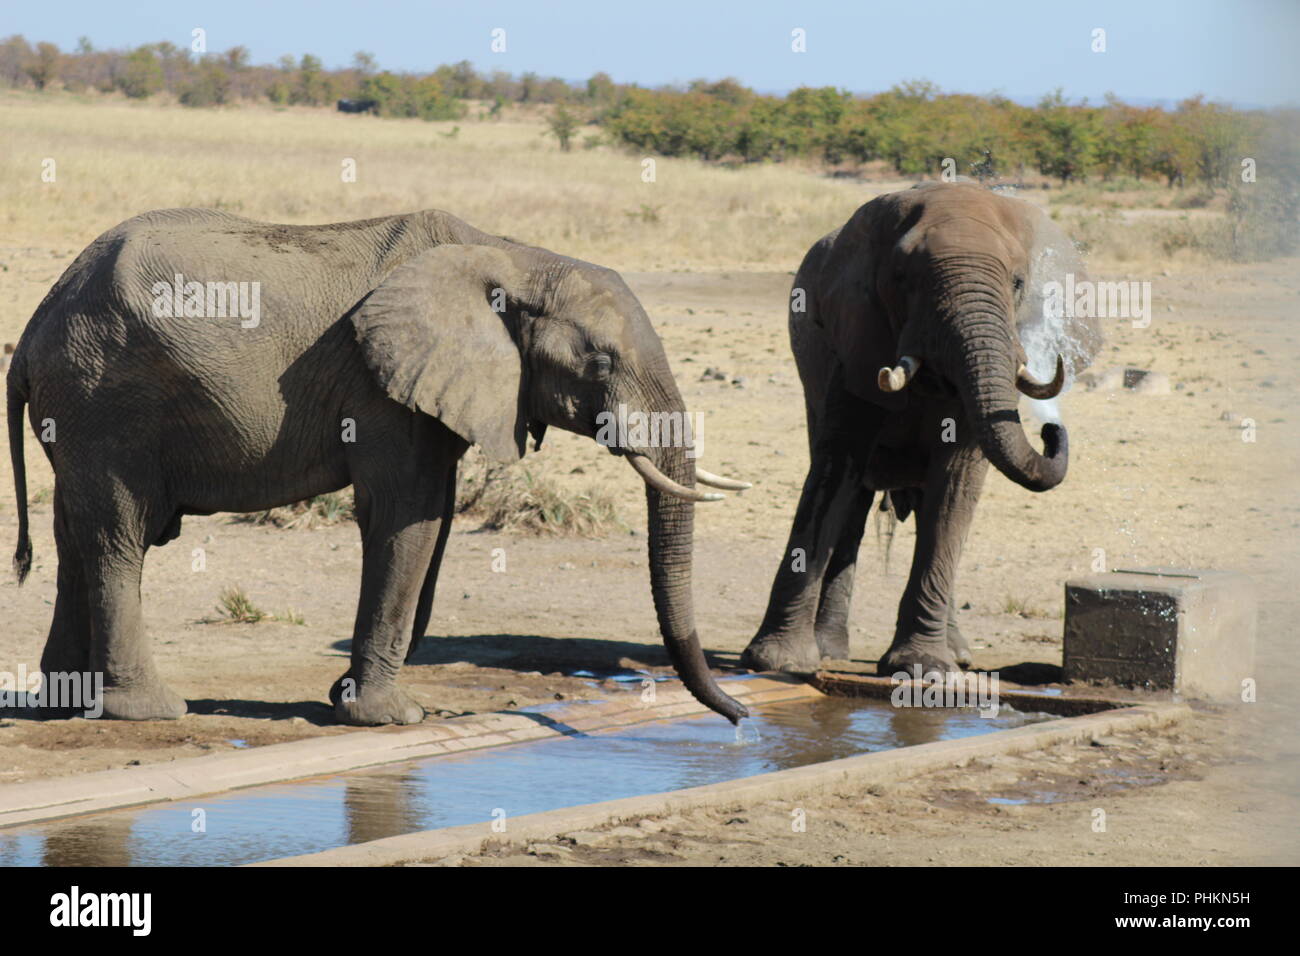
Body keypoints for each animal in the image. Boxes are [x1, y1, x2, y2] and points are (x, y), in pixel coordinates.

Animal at [6, 207, 752, 726]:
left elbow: (434, 521)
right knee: (119, 534)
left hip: (79, 408)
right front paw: (388, 717)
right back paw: (151, 710)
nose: (743, 718)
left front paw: (347, 697)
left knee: (75, 534)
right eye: (600, 362)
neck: (511, 256)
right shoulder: (382, 390)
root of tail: (39, 319)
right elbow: (405, 517)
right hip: (106, 396)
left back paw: (64, 704)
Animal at [742, 182, 1102, 677]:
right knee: (854, 505)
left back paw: (958, 654)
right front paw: (777, 663)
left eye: (1017, 283)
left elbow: (955, 488)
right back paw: (832, 650)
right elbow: (834, 468)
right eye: (902, 279)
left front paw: (923, 668)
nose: (1050, 431)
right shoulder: (857, 339)